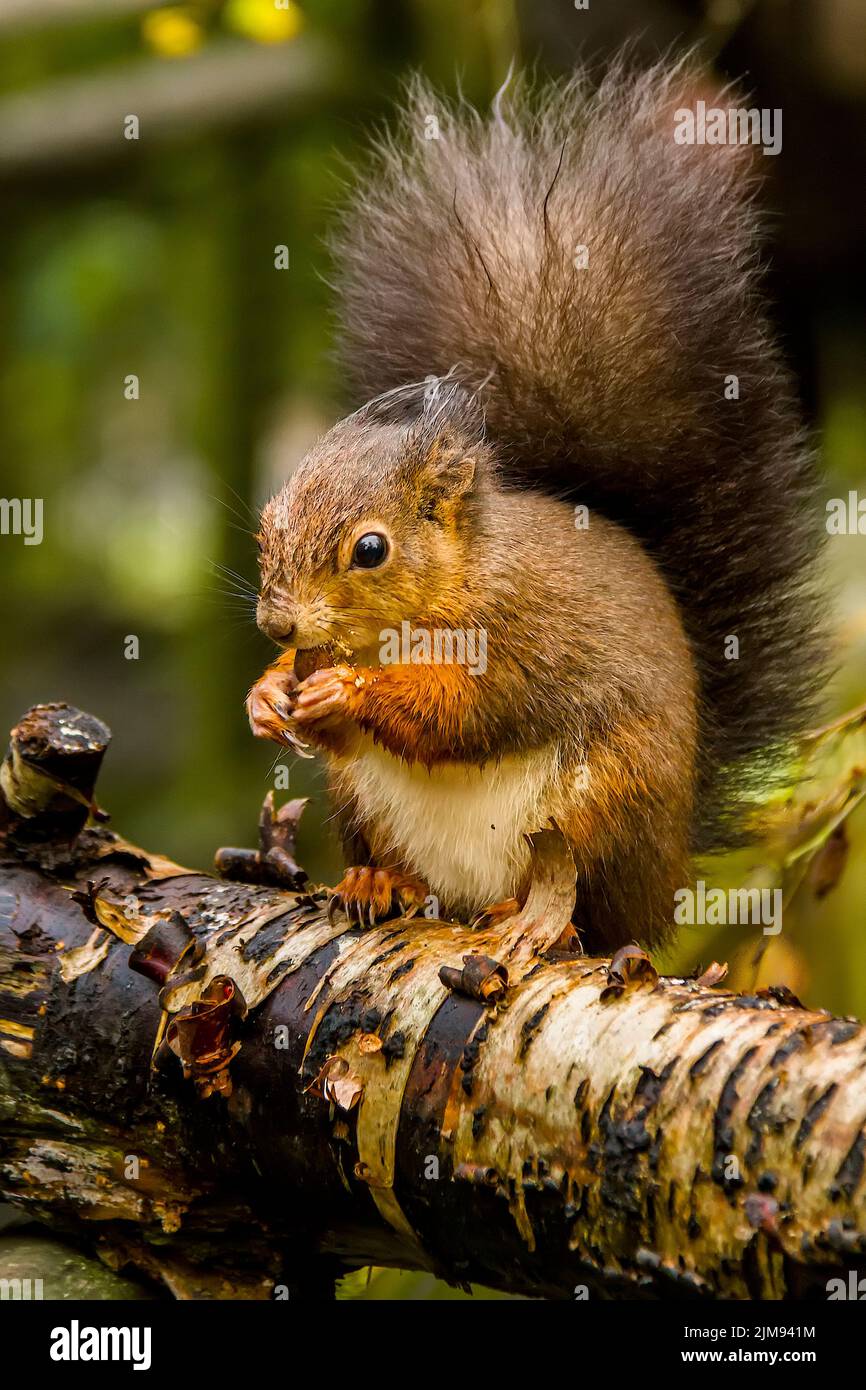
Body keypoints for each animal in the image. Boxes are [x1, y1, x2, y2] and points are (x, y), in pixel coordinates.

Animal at [246, 58, 824, 951]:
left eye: (370, 550)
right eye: (264, 529)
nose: (278, 624)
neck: (453, 578)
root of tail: (663, 884)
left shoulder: (517, 635)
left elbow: (460, 713)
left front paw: (352, 691)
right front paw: (269, 695)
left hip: (602, 801)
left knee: (582, 895)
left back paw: (529, 920)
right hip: (361, 802)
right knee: (398, 858)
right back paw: (381, 881)